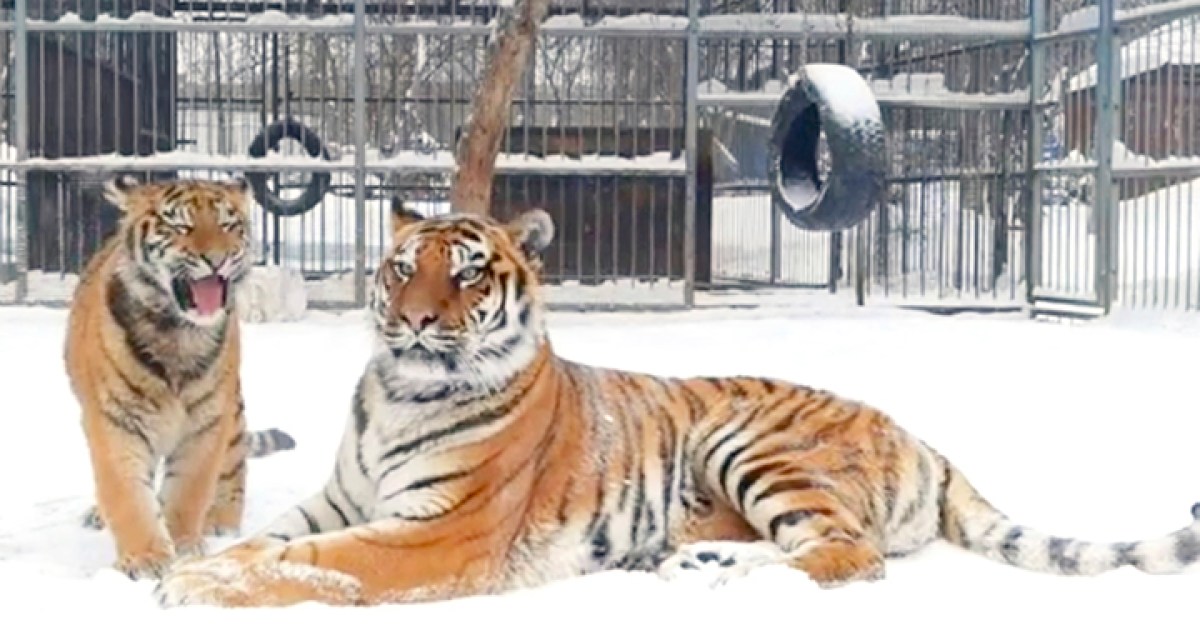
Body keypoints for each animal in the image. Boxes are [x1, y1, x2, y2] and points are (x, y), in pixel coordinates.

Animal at [64, 175, 297, 580]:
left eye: (227, 224)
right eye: (180, 226)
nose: (216, 259)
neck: (177, 334)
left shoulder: (206, 423)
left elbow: (189, 490)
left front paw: (185, 546)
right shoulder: (114, 422)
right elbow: (126, 494)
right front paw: (145, 559)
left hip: (231, 412)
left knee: (233, 466)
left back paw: (221, 522)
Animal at [153, 201, 1200, 607]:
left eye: (467, 276)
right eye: (404, 269)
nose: (412, 322)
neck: (399, 392)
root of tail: (922, 437)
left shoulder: (433, 532)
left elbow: (316, 565)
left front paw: (192, 586)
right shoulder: (340, 499)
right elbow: (270, 540)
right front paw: (190, 565)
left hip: (756, 442)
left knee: (845, 554)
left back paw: (737, 583)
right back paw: (692, 561)